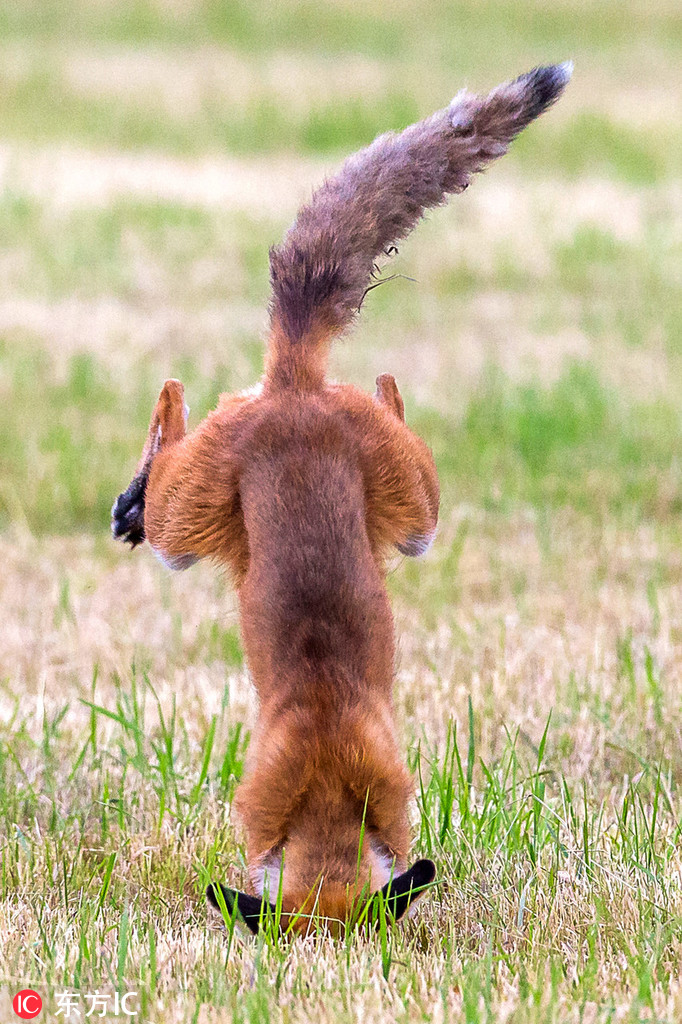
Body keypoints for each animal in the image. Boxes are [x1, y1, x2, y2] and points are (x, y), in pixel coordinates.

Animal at [112, 63, 571, 935]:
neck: (324, 774)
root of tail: (295, 390)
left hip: (373, 514)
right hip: (223, 526)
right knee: (173, 408)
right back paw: (140, 480)